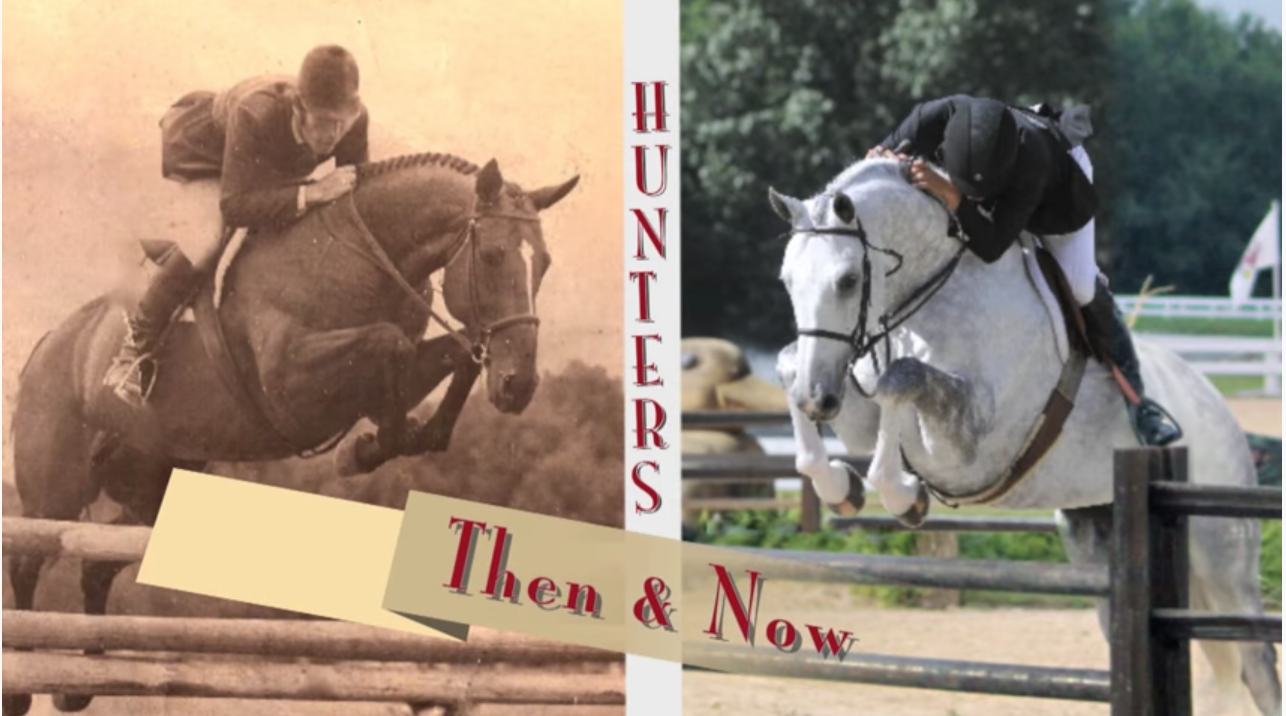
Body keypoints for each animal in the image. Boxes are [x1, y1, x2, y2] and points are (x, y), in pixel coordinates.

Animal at [5, 153, 579, 716]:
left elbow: (452, 354)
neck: (361, 258)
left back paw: (80, 681)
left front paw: (383, 443)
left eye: (546, 263)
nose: (519, 385)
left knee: (95, 566)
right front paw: (371, 445)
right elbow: (388, 342)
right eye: (495, 256)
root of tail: (50, 342)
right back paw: (22, 686)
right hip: (55, 489)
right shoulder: (291, 389)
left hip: (156, 485)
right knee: (27, 560)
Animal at [766, 156, 1280, 715]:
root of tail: (1221, 409)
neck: (931, 291)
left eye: (847, 279)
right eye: (787, 280)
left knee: (1256, 659)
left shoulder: (969, 445)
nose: (819, 399)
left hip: (1221, 553)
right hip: (1094, 534)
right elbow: (797, 368)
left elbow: (902, 379)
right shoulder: (862, 410)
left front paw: (904, 497)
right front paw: (840, 485)